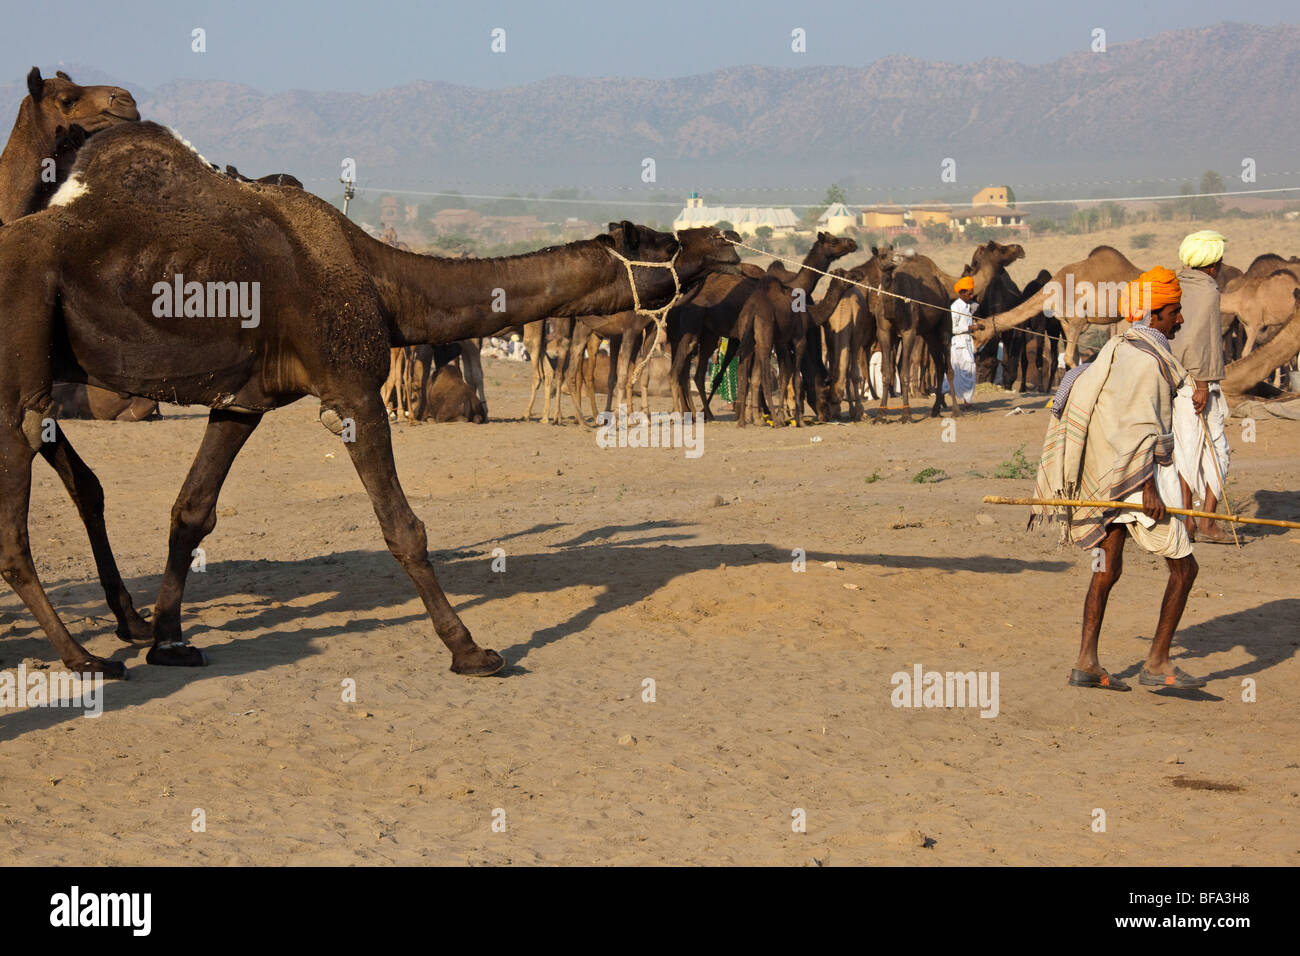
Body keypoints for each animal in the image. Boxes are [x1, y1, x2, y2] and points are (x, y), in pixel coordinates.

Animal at [0, 121, 740, 678]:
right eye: (661, 241)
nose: (728, 239)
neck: (381, 279)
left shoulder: (243, 399)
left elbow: (192, 510)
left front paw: (170, 641)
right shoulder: (353, 389)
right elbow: (403, 527)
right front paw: (471, 650)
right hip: (19, 367)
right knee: (19, 506)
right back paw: (83, 658)